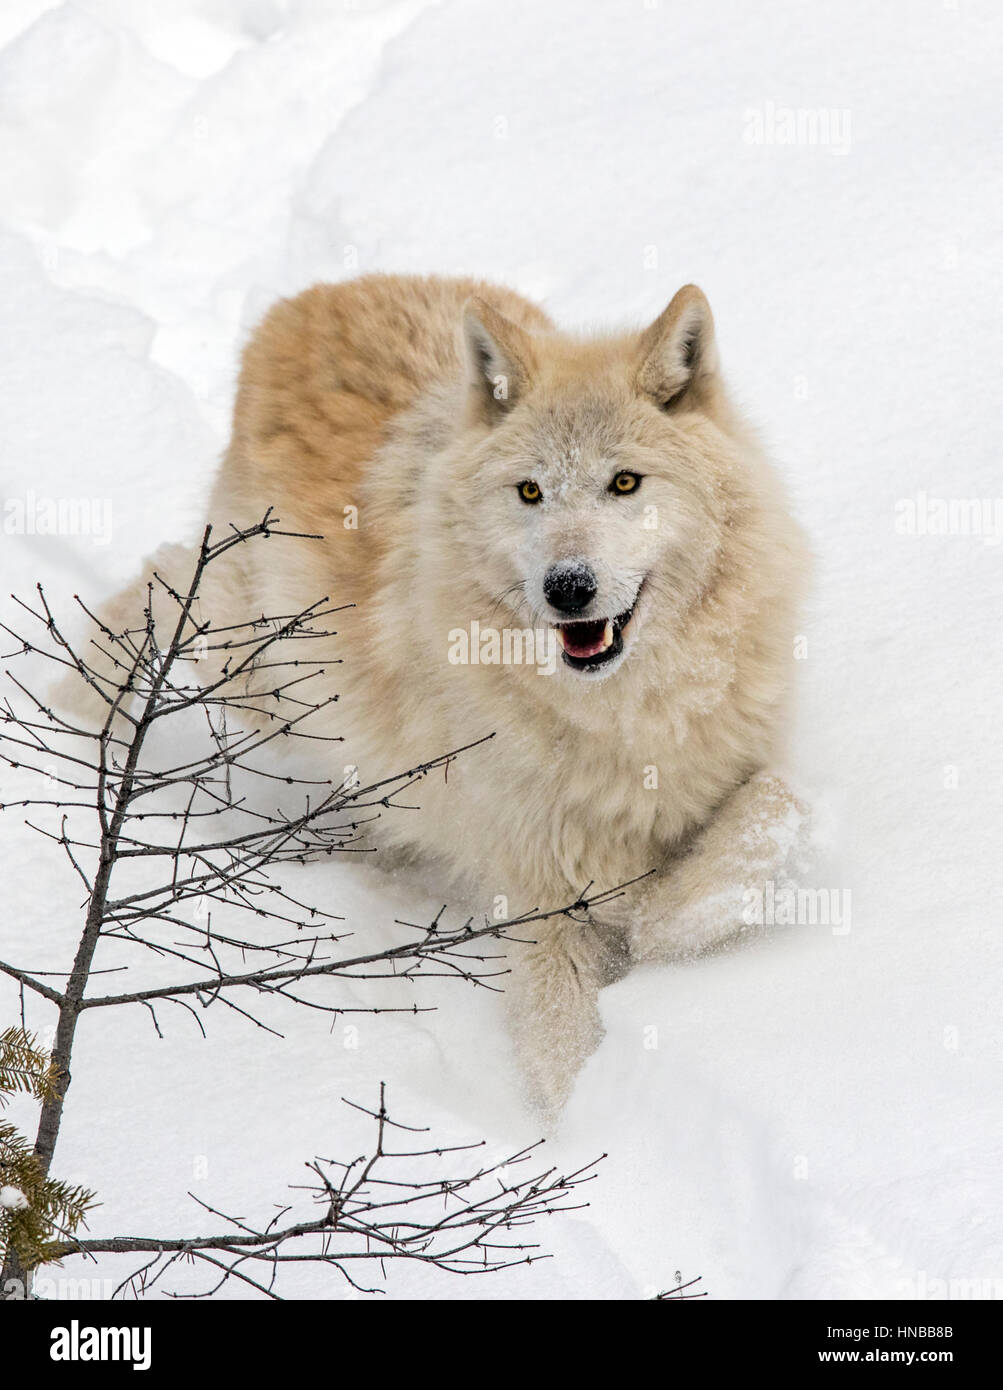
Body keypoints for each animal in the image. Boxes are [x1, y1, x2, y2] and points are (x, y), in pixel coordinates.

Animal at [84, 274, 812, 1115]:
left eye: (624, 482)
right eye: (529, 491)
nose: (566, 588)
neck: (625, 716)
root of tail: (314, 296)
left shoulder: (736, 770)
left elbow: (776, 806)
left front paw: (662, 923)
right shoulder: (539, 901)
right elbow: (559, 1051)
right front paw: (571, 1133)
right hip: (258, 666)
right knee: (162, 579)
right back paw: (76, 713)